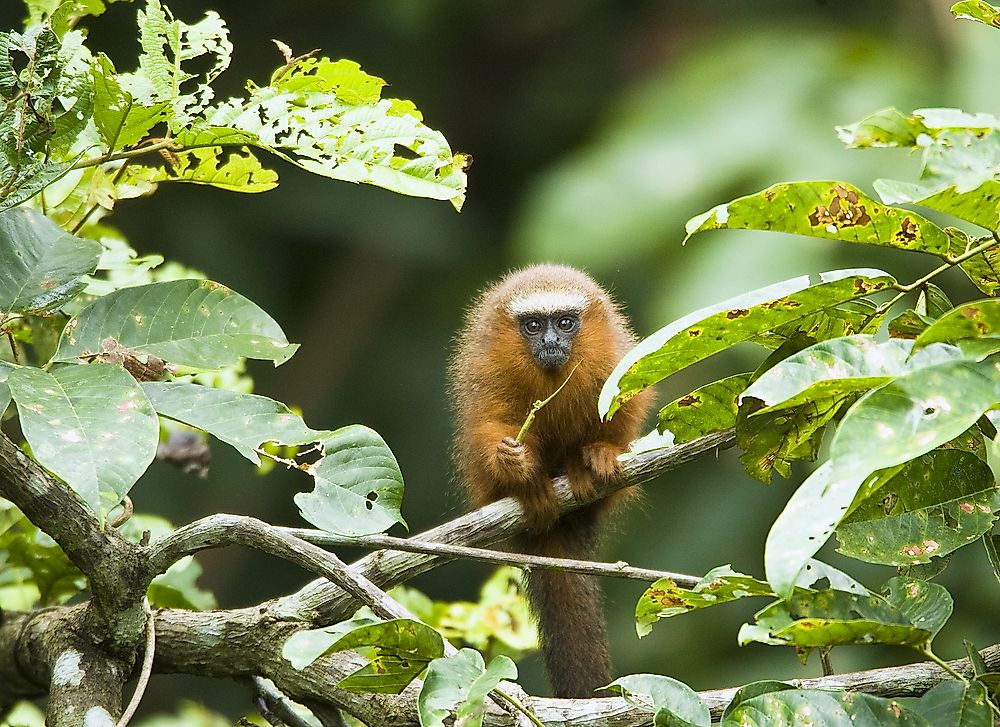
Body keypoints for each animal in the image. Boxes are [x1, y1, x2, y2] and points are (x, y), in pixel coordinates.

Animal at [449, 264, 653, 698]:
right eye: (533, 325)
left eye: (564, 323)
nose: (551, 341)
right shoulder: (486, 371)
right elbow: (487, 425)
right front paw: (511, 462)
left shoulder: (613, 361)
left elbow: (625, 411)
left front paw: (600, 452)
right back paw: (530, 488)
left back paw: (579, 470)